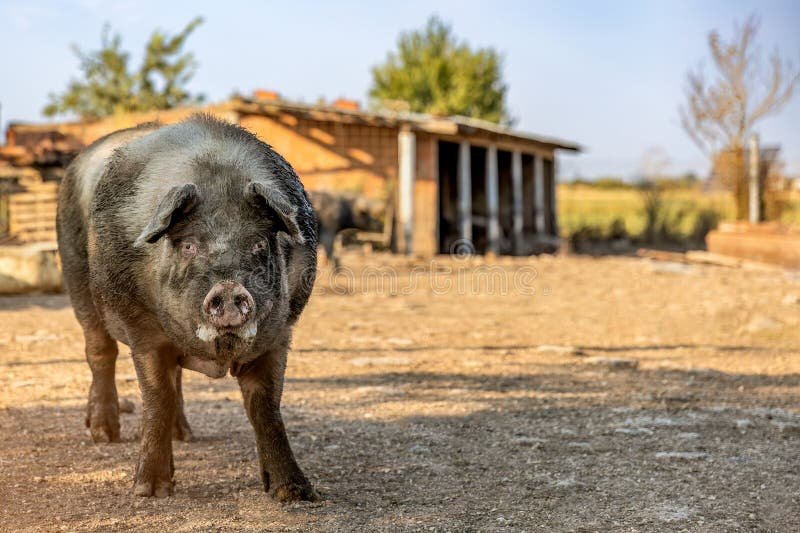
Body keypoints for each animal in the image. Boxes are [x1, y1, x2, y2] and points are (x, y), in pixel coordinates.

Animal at [56, 115, 319, 501]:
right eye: (189, 246)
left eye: (258, 243)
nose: (228, 288)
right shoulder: (143, 330)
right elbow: (157, 397)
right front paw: (150, 491)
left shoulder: (280, 332)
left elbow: (266, 407)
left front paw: (296, 493)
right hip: (76, 279)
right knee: (100, 353)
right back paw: (104, 434)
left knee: (176, 375)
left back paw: (186, 436)